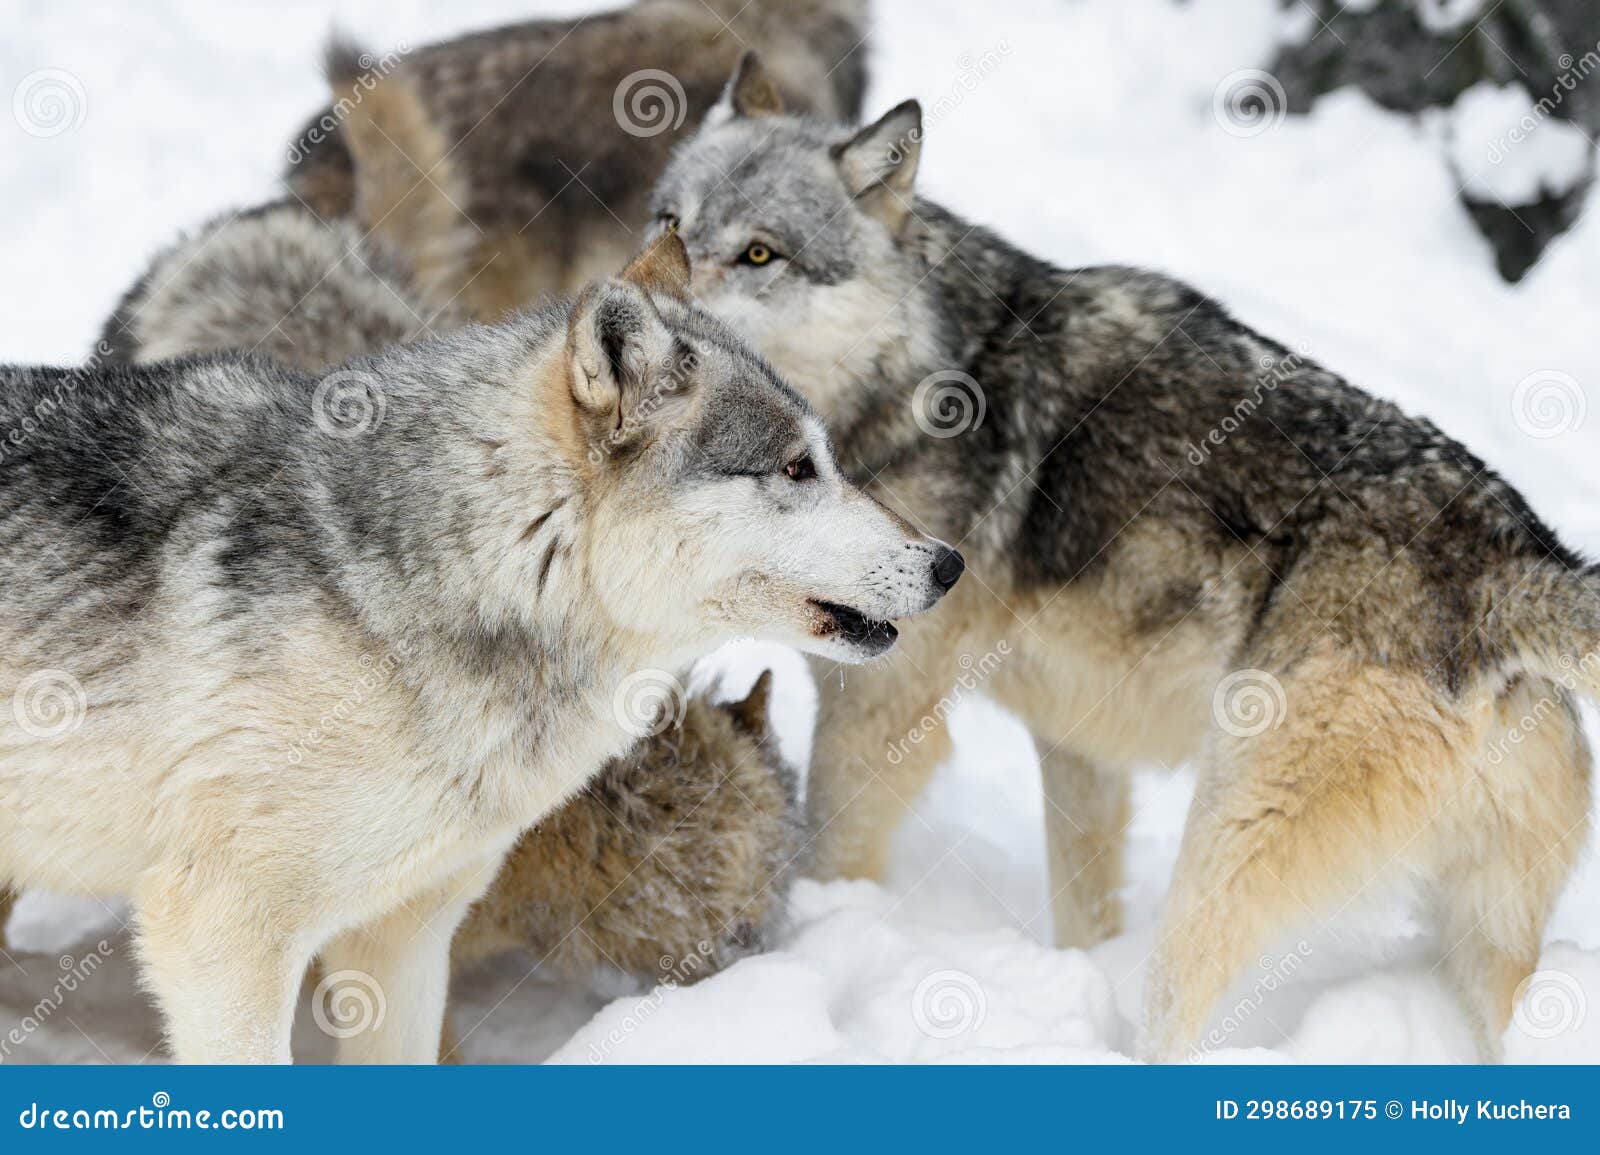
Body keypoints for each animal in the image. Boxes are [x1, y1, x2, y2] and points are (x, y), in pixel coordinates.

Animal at [649, 55, 1600, 1060]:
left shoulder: (878, 708)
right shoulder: (1078, 747)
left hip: (1223, 852)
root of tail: (1512, 558)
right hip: (1481, 945)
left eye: (760, 255)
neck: (921, 373)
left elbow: (832, 860)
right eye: (670, 223)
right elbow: (1085, 906)